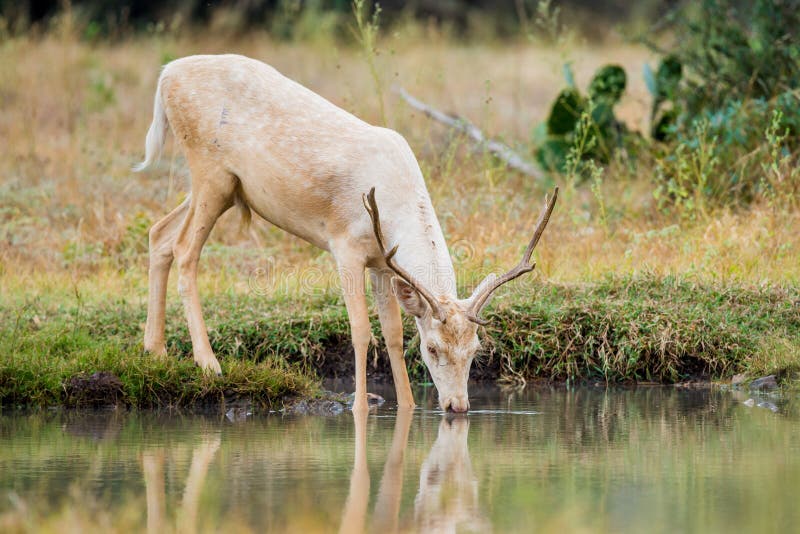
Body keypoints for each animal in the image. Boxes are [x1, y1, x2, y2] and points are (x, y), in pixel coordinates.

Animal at [134, 54, 557, 413]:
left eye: (475, 349)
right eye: (433, 347)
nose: (457, 406)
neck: (393, 201)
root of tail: (165, 74)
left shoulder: (383, 264)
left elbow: (392, 334)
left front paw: (407, 406)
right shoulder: (346, 246)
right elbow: (361, 330)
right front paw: (359, 406)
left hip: (224, 187)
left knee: (160, 233)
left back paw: (155, 351)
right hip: (210, 169)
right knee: (185, 248)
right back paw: (208, 364)